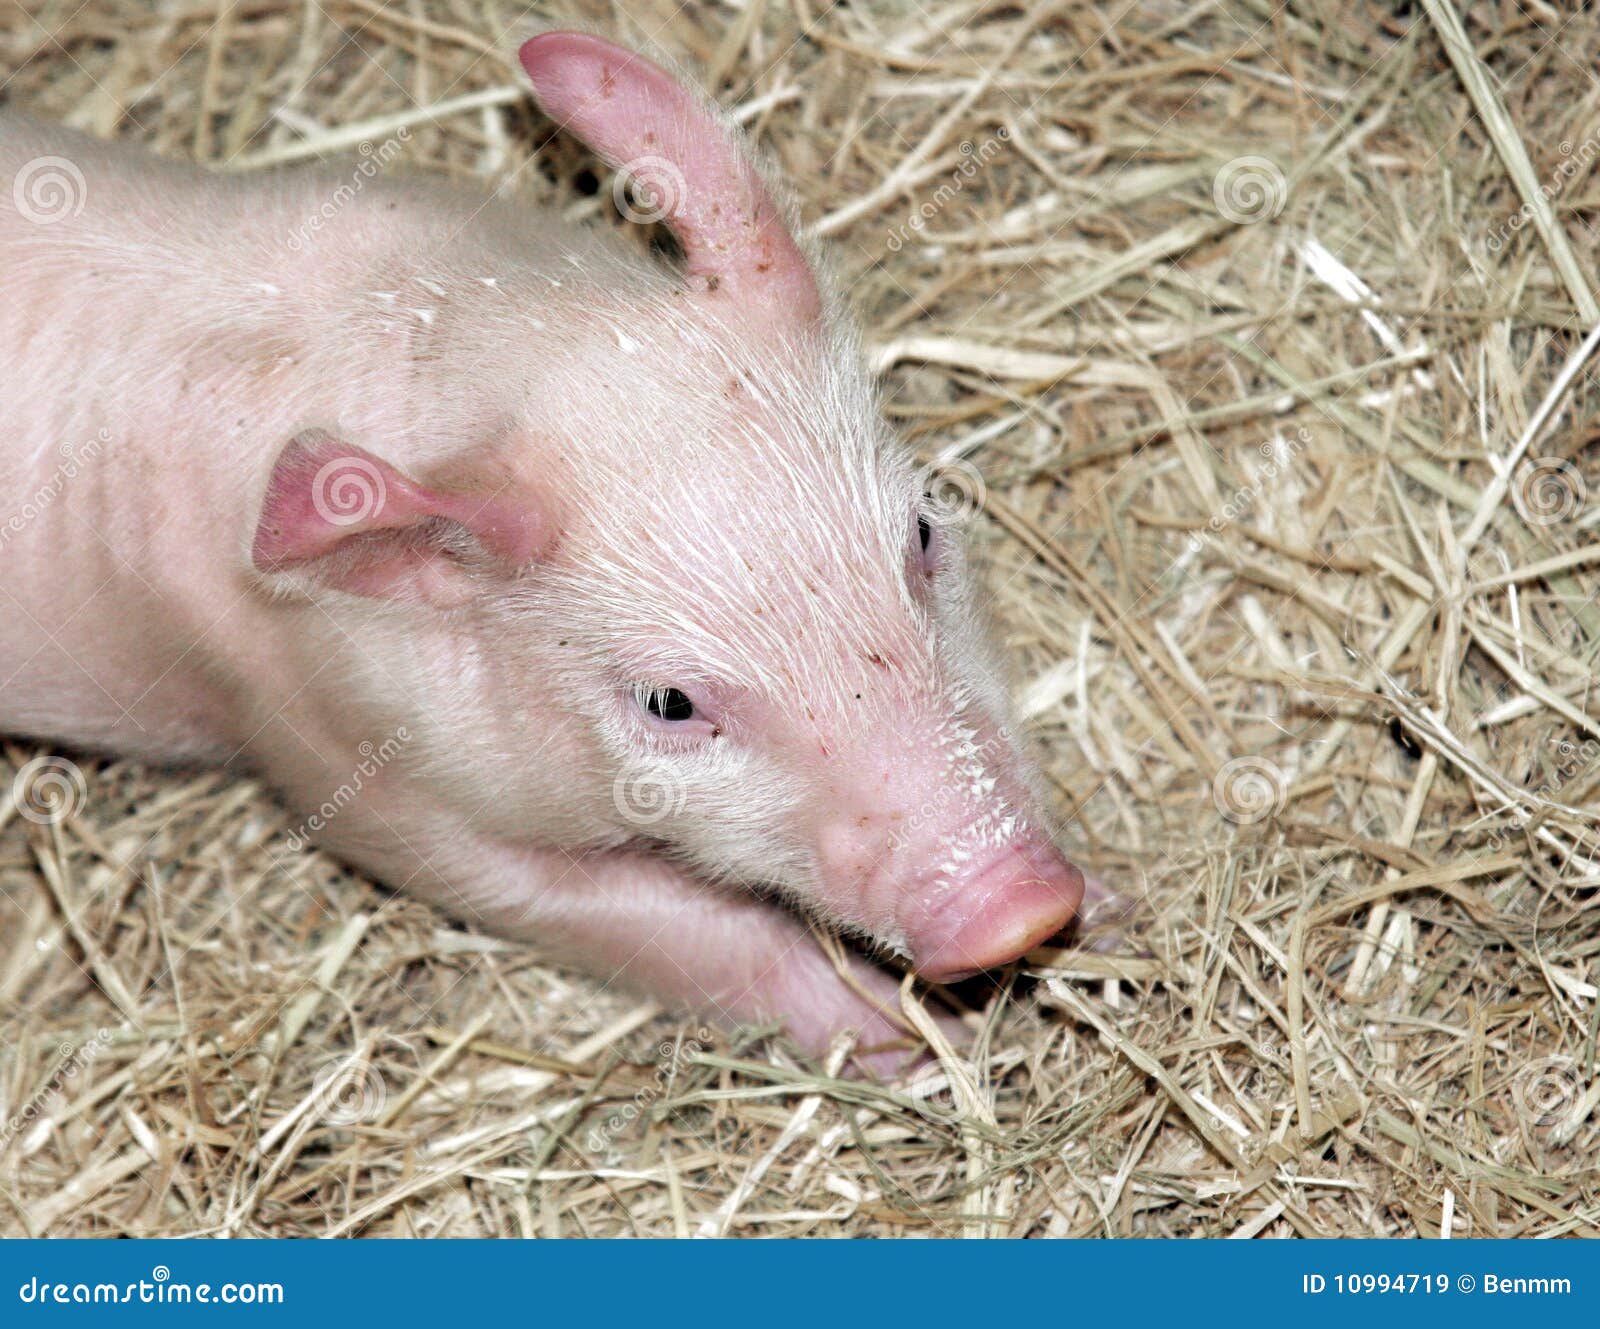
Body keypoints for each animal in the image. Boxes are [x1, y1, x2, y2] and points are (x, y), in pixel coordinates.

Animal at [0, 32, 1086, 1067]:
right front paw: (913, 1044)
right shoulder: (329, 751)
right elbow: (640, 918)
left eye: (923, 531)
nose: (1015, 904)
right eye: (668, 702)